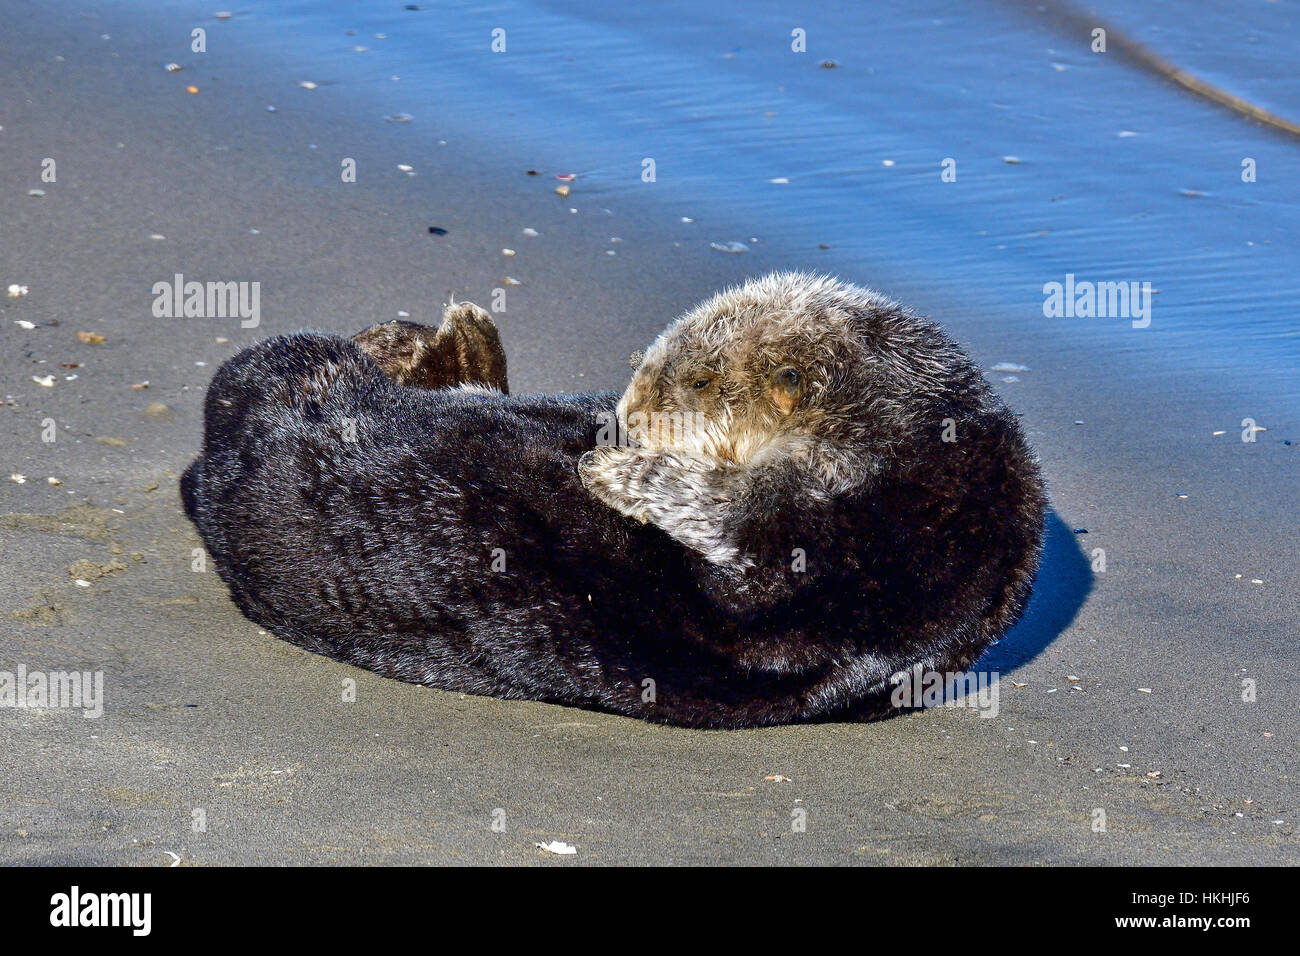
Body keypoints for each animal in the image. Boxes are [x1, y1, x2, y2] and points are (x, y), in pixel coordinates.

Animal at [181, 274, 1045, 728]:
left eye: (696, 380)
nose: (623, 416)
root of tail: (213, 462)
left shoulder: (860, 541)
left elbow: (741, 531)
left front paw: (610, 470)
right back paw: (459, 335)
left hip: (287, 378)